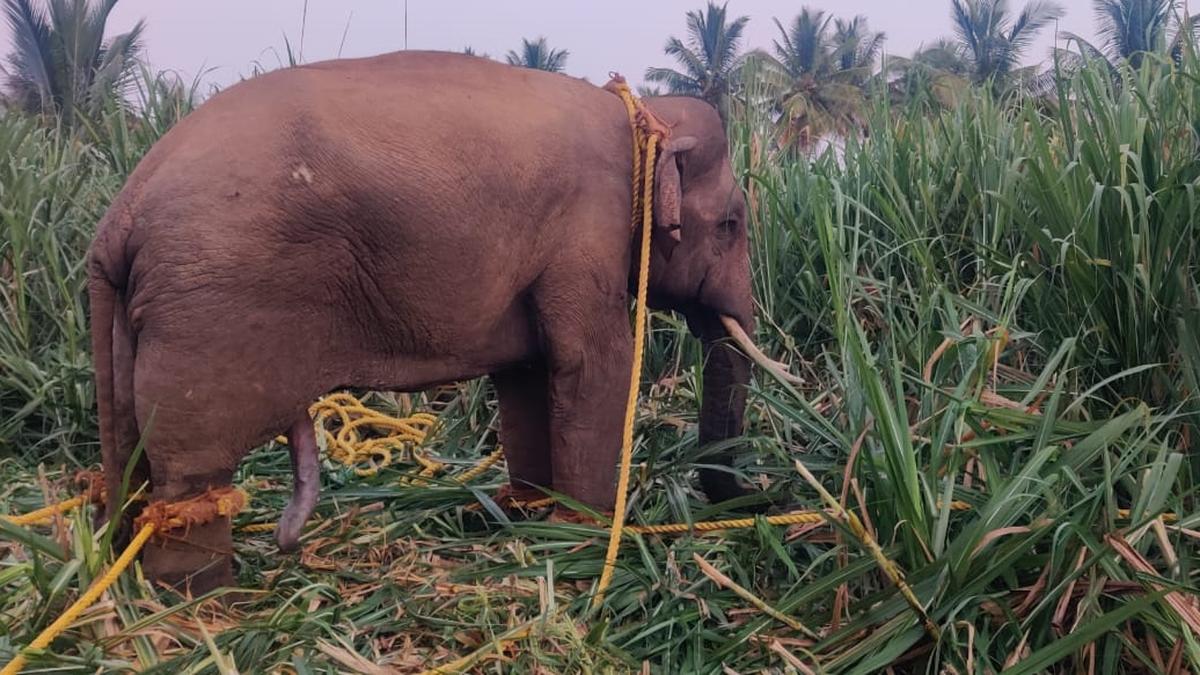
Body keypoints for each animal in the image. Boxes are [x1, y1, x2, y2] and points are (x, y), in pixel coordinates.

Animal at [87, 50, 769, 593]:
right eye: (731, 224)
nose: (764, 497)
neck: (641, 115)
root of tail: (119, 216)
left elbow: (527, 370)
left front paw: (530, 515)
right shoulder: (586, 226)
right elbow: (595, 361)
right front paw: (581, 537)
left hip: (135, 320)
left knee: (131, 448)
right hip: (209, 312)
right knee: (191, 468)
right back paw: (204, 600)